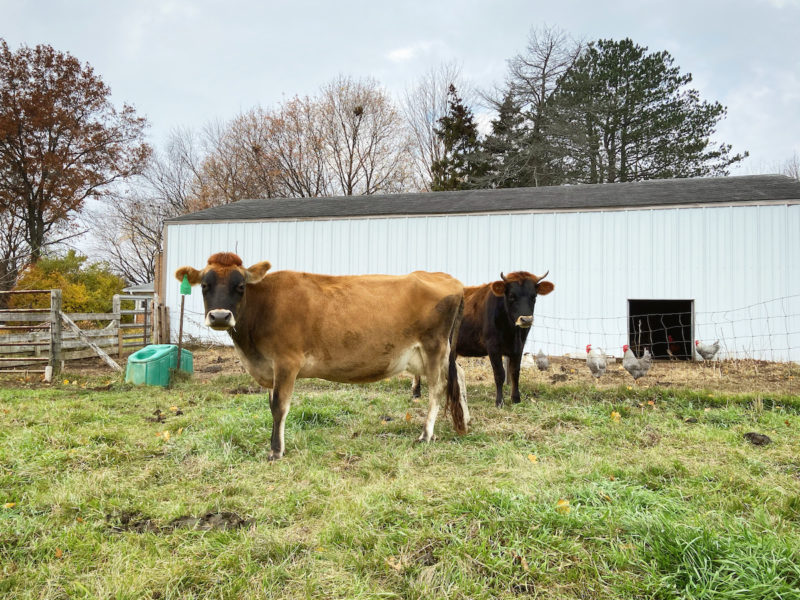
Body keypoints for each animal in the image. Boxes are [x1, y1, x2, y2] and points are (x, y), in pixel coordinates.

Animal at [175, 253, 468, 460]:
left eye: (240, 286)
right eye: (205, 285)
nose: (220, 316)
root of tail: (450, 280)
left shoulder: (286, 361)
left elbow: (279, 406)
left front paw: (276, 451)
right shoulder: (270, 367)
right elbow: (271, 404)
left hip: (433, 347)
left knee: (437, 389)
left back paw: (425, 435)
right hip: (441, 352)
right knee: (459, 377)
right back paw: (464, 422)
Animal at [411, 271, 554, 407]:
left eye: (534, 296)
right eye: (512, 296)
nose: (526, 319)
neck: (512, 332)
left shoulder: (519, 347)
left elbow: (515, 372)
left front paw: (516, 399)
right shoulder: (493, 347)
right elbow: (500, 373)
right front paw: (499, 402)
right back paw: (416, 392)